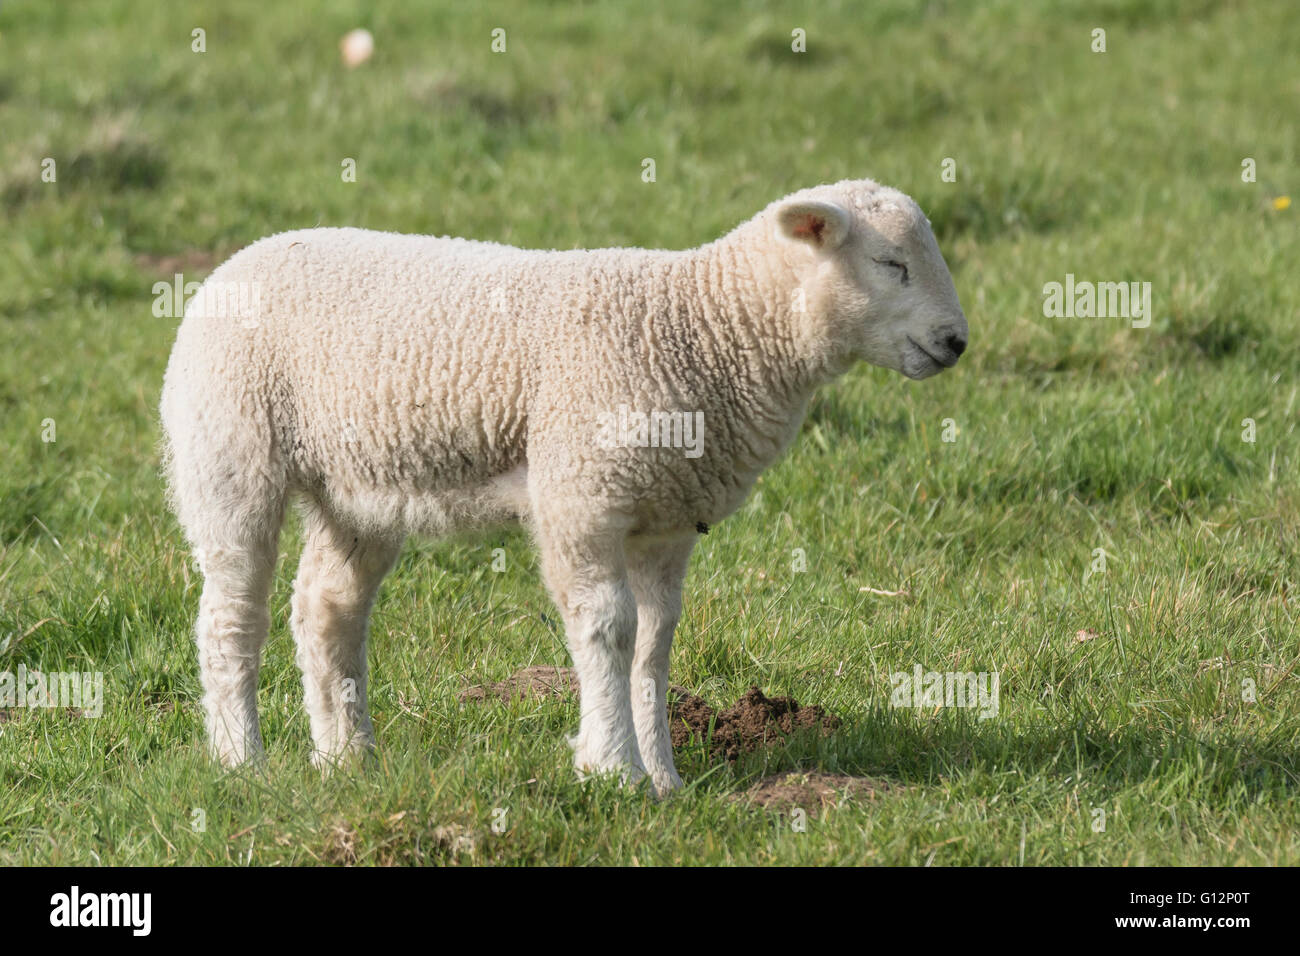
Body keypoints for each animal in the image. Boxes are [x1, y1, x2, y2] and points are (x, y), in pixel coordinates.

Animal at [159, 177, 968, 795]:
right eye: (891, 262)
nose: (956, 341)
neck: (707, 329)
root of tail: (234, 263)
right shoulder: (583, 494)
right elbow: (608, 628)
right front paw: (613, 769)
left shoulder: (665, 520)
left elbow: (655, 644)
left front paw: (665, 778)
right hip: (230, 455)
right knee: (231, 619)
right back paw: (242, 761)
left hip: (358, 487)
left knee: (327, 611)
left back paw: (348, 760)